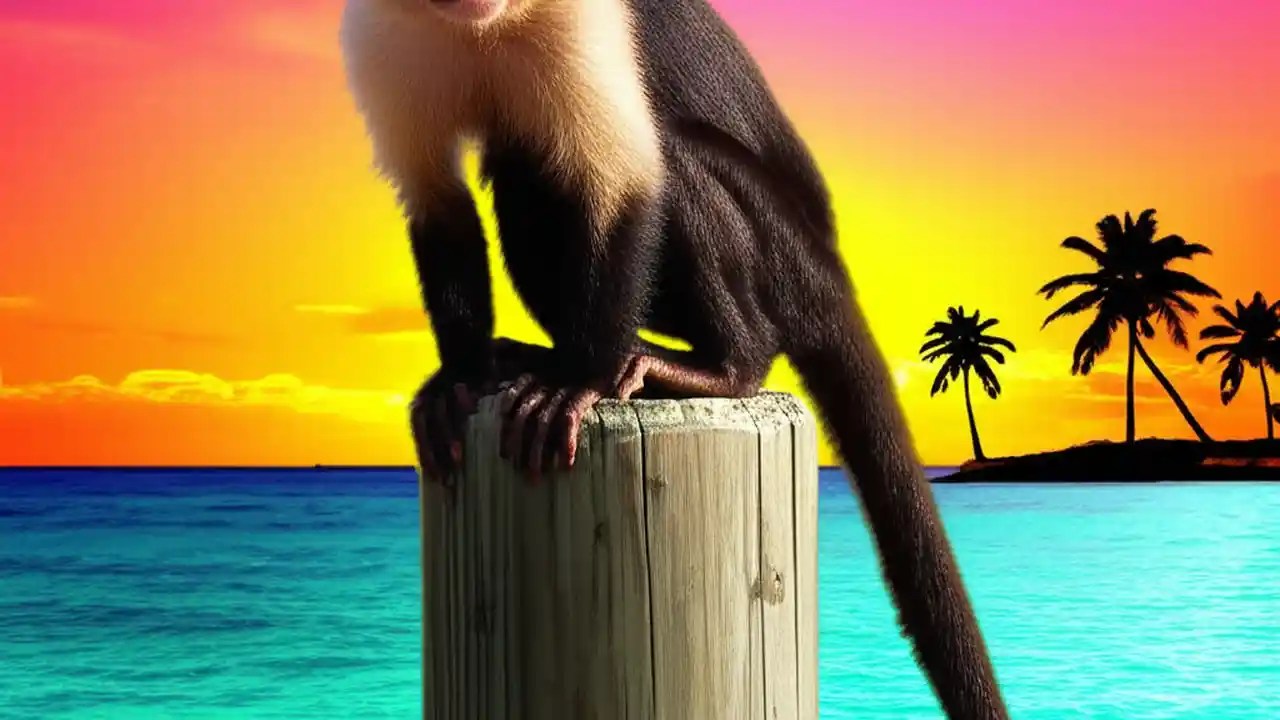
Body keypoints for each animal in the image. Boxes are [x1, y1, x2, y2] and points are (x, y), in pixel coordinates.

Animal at [340, 0, 1010, 717]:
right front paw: (461, 380)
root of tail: (830, 266)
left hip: (780, 253)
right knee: (522, 164)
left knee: (662, 156)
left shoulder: (582, 20)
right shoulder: (382, 31)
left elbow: (626, 181)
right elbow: (437, 202)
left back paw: (717, 365)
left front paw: (581, 381)